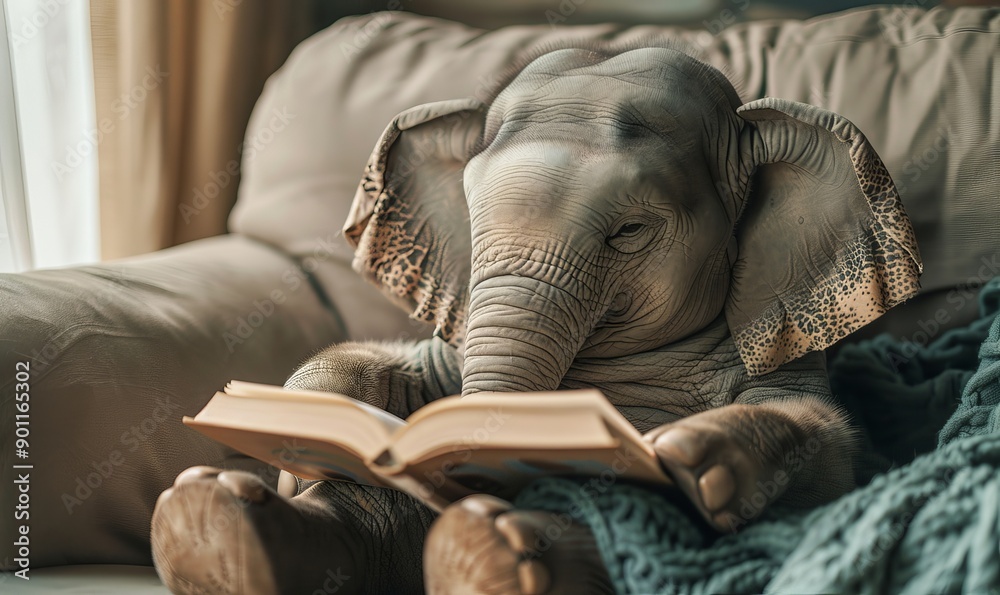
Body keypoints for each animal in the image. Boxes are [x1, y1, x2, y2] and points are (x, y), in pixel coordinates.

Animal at [150, 43, 921, 595]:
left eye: (629, 232)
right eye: (470, 214)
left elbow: (832, 456)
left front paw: (686, 456)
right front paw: (297, 444)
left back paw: (496, 551)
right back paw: (214, 527)